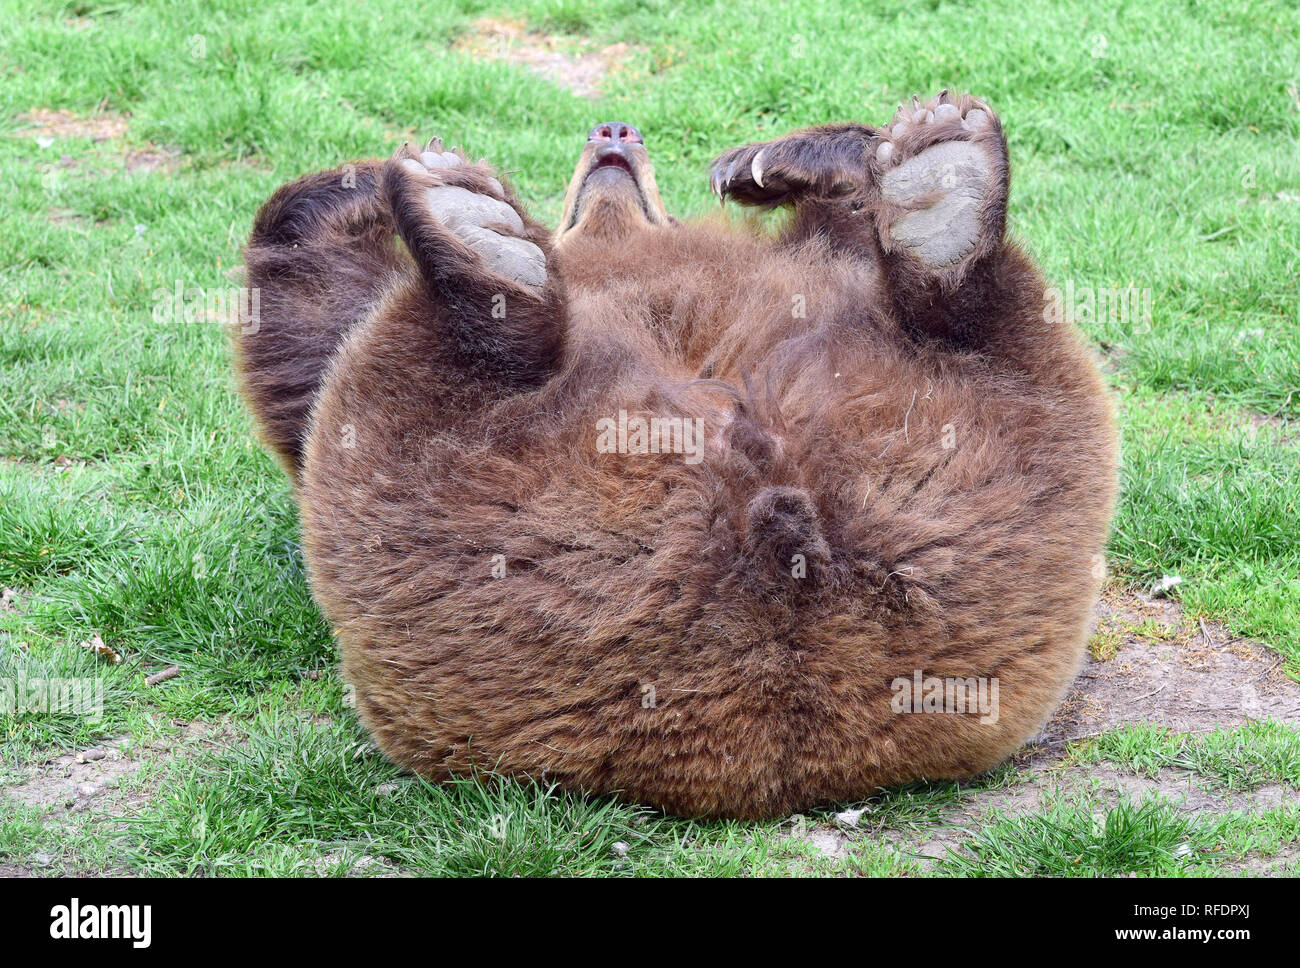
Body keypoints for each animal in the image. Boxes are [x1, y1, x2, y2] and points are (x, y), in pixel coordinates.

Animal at [236, 91, 1118, 819]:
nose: (612, 132)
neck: (615, 238)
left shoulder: (813, 272)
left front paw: (774, 159)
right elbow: (309, 337)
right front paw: (358, 182)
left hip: (989, 481)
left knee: (986, 341)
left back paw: (944, 183)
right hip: (446, 523)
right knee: (417, 388)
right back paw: (480, 245)